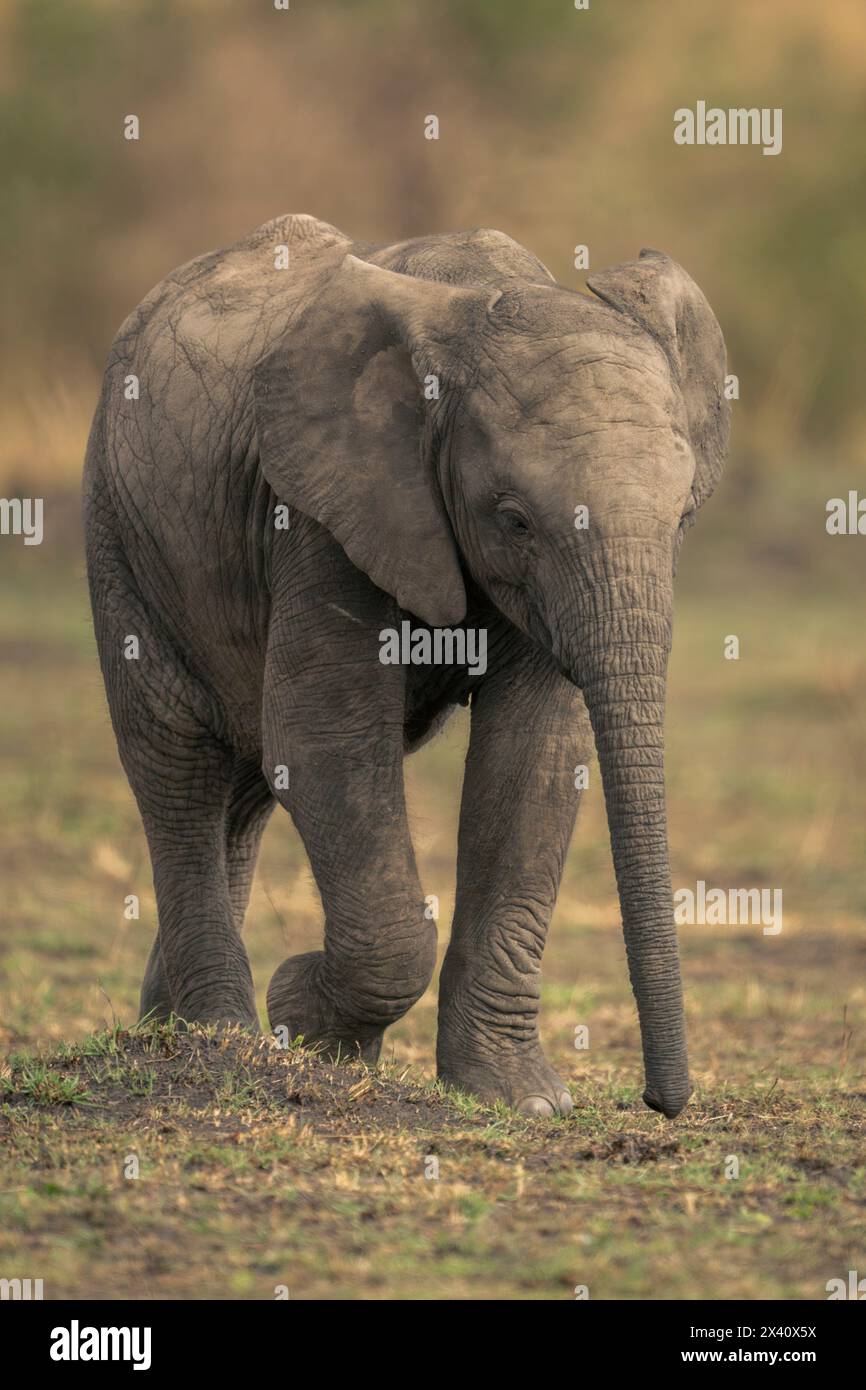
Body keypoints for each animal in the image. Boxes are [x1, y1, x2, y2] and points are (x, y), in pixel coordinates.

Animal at [83, 213, 730, 1119]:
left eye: (680, 518)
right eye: (514, 519)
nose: (662, 1103)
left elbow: (532, 758)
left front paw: (520, 1100)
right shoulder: (320, 510)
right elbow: (325, 740)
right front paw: (306, 1026)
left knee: (243, 790)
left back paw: (164, 1034)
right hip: (118, 533)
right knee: (178, 765)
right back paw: (220, 1042)